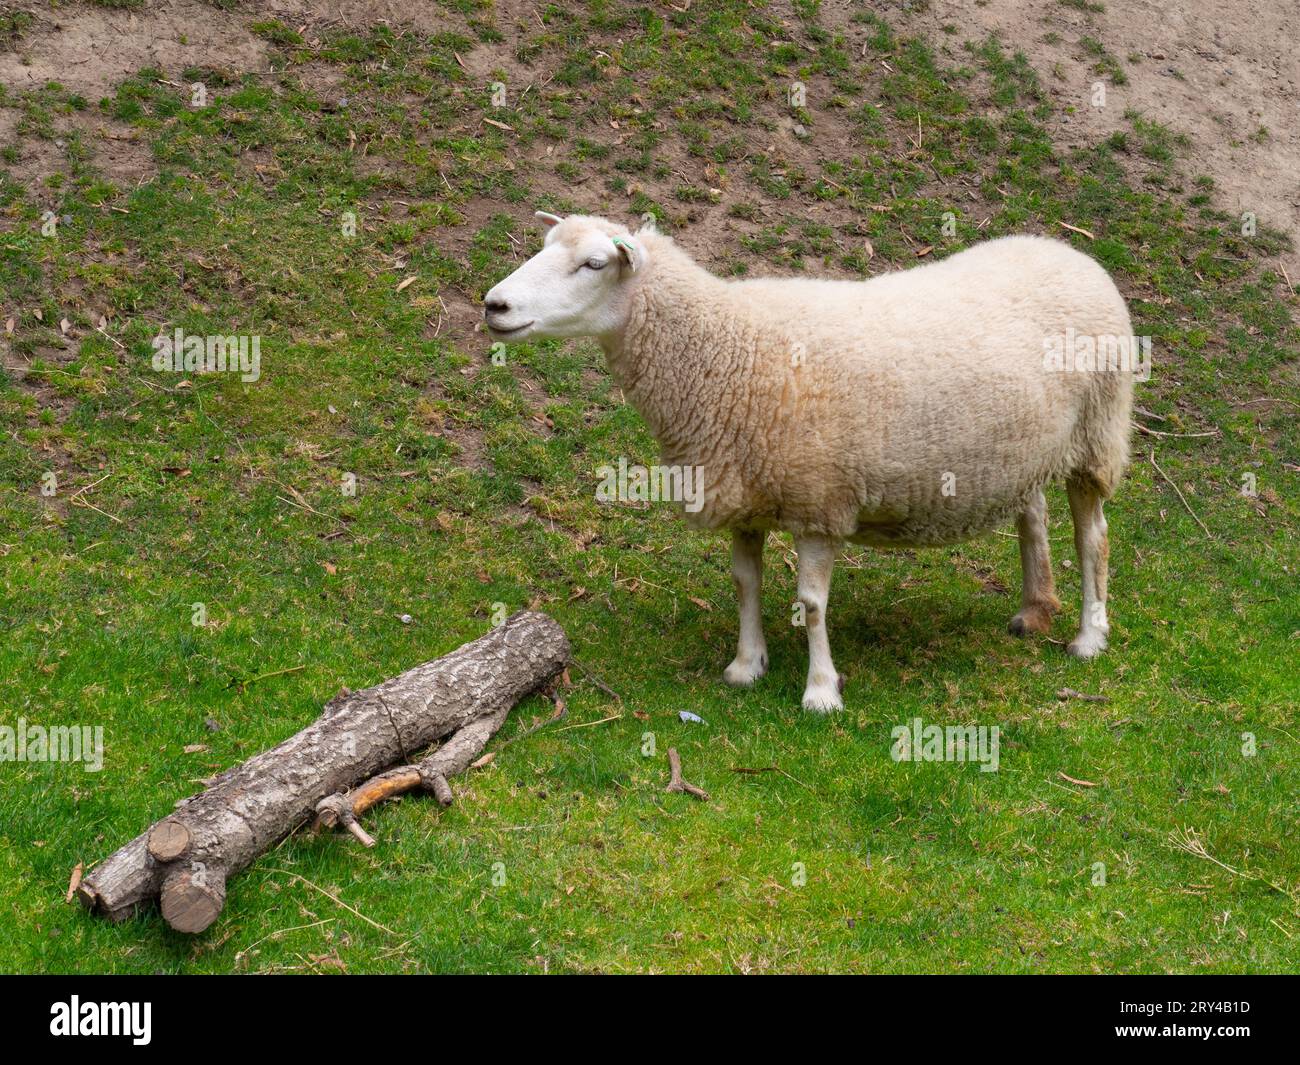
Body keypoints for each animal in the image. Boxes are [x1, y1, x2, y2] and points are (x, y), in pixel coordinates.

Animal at [483, 212, 1135, 712]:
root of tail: (1070, 252)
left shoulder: (819, 500)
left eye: (594, 264)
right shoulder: (745, 492)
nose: (495, 304)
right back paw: (1033, 610)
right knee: (1033, 515)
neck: (726, 351)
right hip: (1026, 447)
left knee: (1094, 536)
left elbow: (813, 604)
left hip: (1097, 431)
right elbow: (744, 582)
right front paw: (746, 665)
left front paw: (820, 692)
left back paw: (1088, 636)